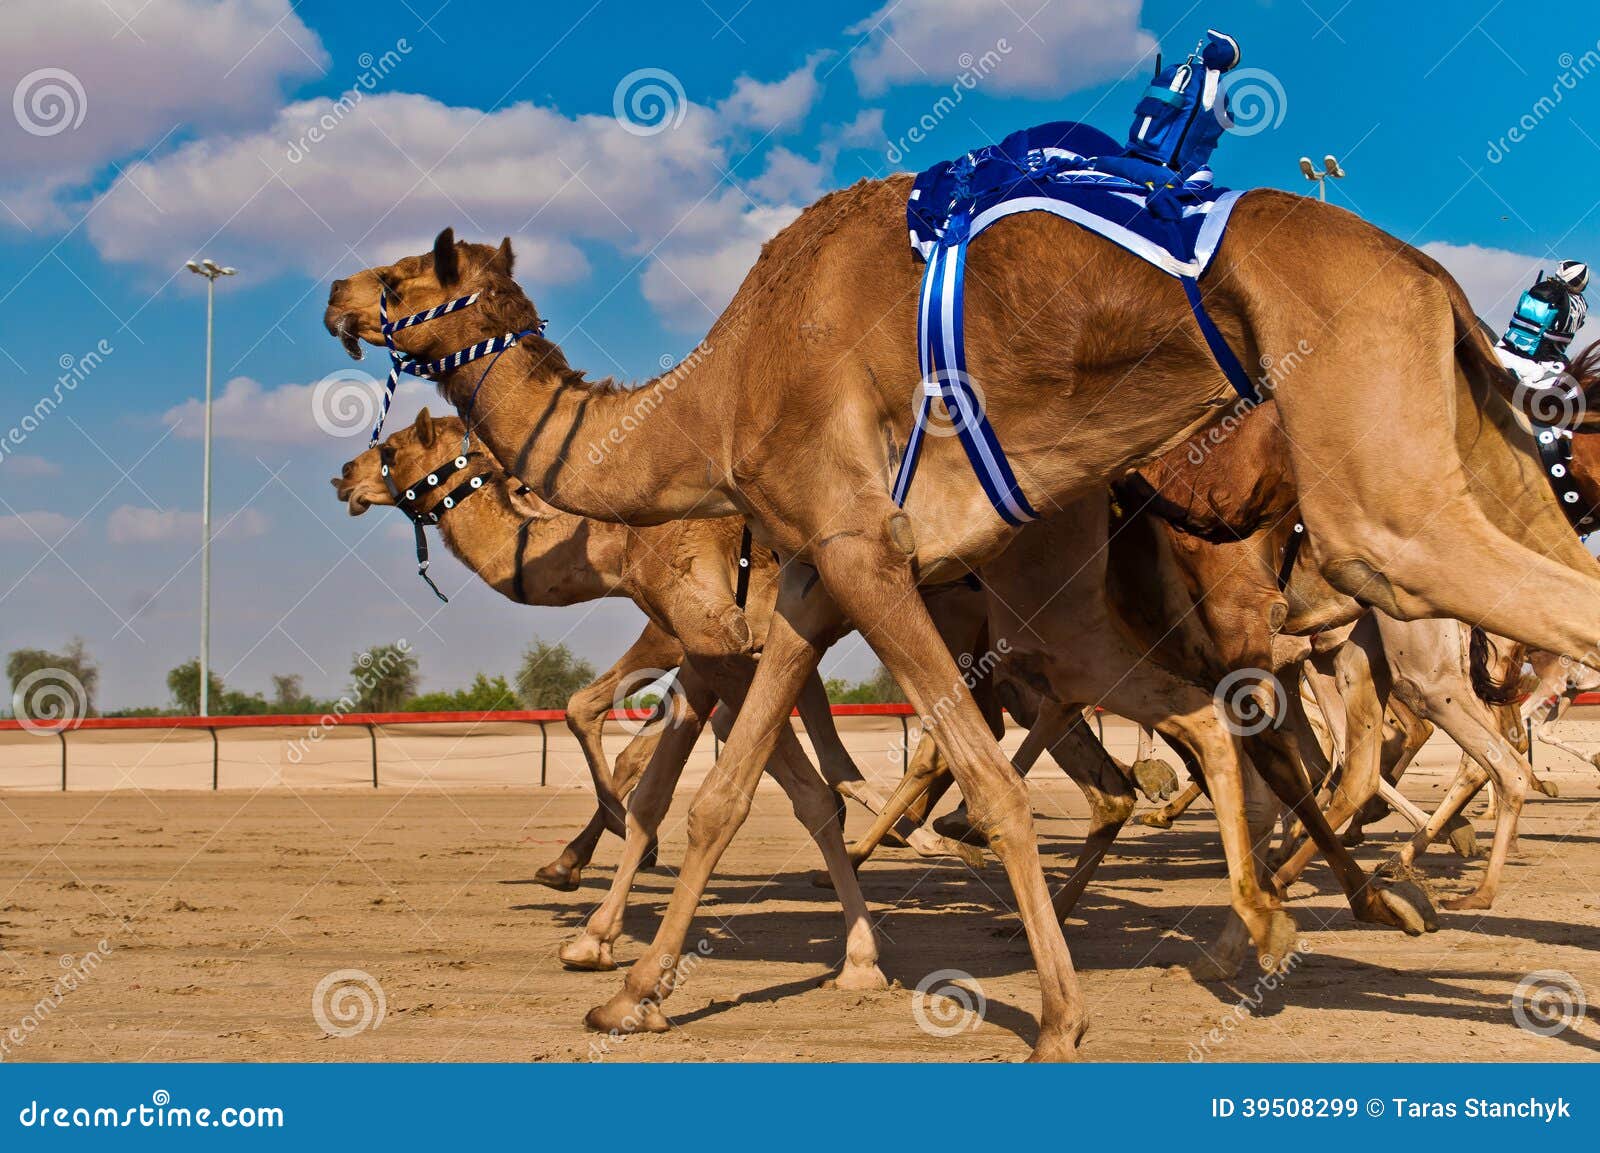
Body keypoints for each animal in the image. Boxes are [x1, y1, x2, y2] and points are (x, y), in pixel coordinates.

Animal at [325, 182, 1600, 1058]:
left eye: (403, 278)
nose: (334, 296)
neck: (711, 400)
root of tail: (1428, 278)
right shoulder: (809, 580)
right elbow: (727, 795)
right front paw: (631, 991)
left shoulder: (847, 564)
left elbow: (972, 776)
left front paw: (1055, 1013)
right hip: (1405, 488)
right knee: (1229, 724)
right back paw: (1287, 916)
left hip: (1375, 507)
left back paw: (1373, 896)